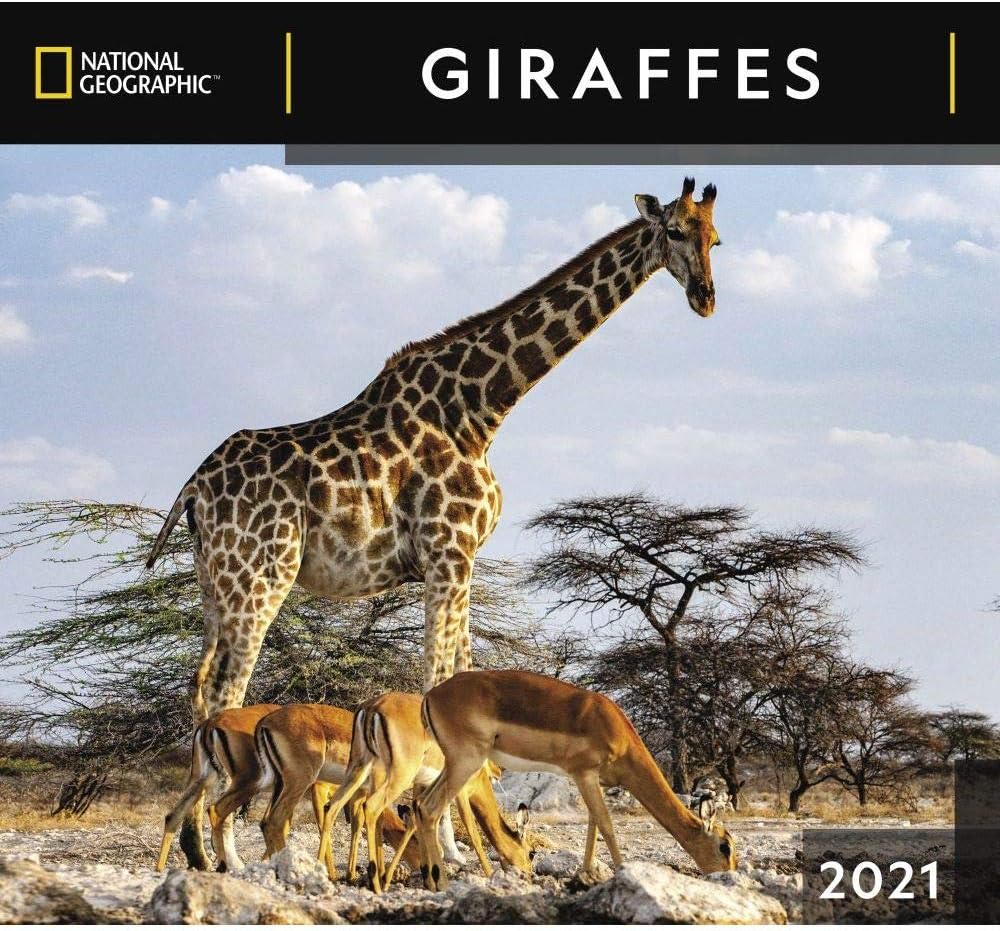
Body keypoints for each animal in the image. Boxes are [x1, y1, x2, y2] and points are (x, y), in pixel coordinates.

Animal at [146, 176, 720, 867]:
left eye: (715, 238)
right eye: (674, 232)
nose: (705, 297)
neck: (480, 409)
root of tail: (194, 488)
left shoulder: (460, 559)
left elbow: (460, 675)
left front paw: (466, 841)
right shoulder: (449, 553)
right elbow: (437, 680)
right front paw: (449, 846)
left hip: (215, 582)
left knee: (200, 689)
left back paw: (198, 850)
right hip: (262, 576)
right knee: (227, 692)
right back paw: (226, 856)